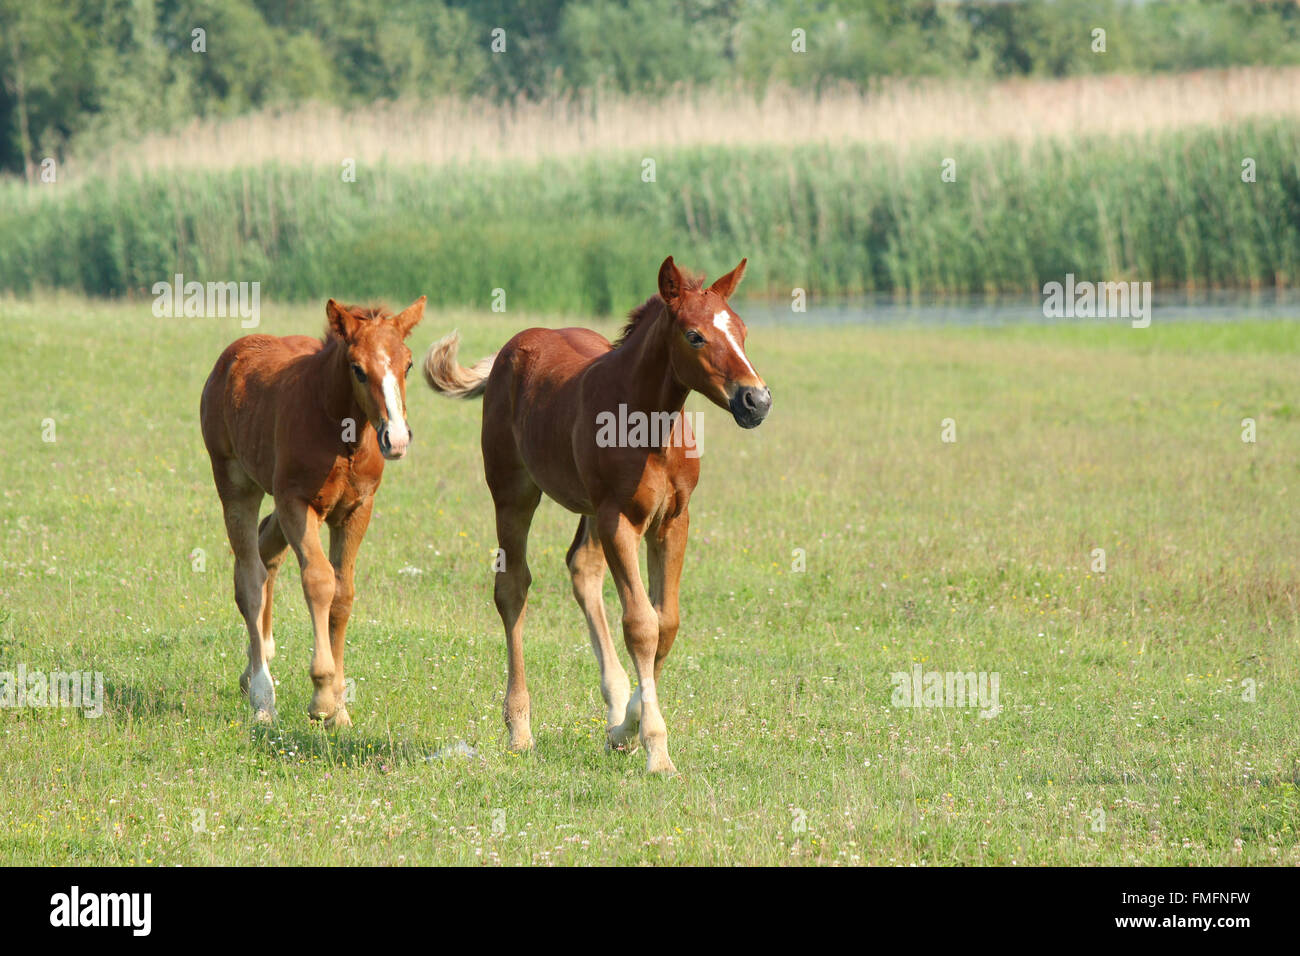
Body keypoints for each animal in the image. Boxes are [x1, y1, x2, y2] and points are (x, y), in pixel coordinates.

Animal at [200, 296, 425, 726]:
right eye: (358, 368)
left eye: (407, 364)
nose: (397, 439)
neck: (341, 432)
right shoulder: (296, 502)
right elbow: (320, 581)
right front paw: (321, 695)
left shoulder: (356, 510)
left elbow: (343, 593)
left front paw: (339, 708)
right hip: (236, 482)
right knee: (250, 575)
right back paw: (262, 694)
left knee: (266, 551)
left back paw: (255, 663)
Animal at [423, 257, 770, 773]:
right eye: (694, 335)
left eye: (742, 331)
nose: (756, 401)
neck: (650, 426)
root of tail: (513, 346)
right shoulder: (617, 520)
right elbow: (641, 625)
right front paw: (656, 750)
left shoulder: (673, 520)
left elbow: (666, 622)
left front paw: (624, 729)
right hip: (512, 491)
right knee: (513, 588)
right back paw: (519, 728)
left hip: (587, 510)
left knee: (582, 568)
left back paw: (614, 703)